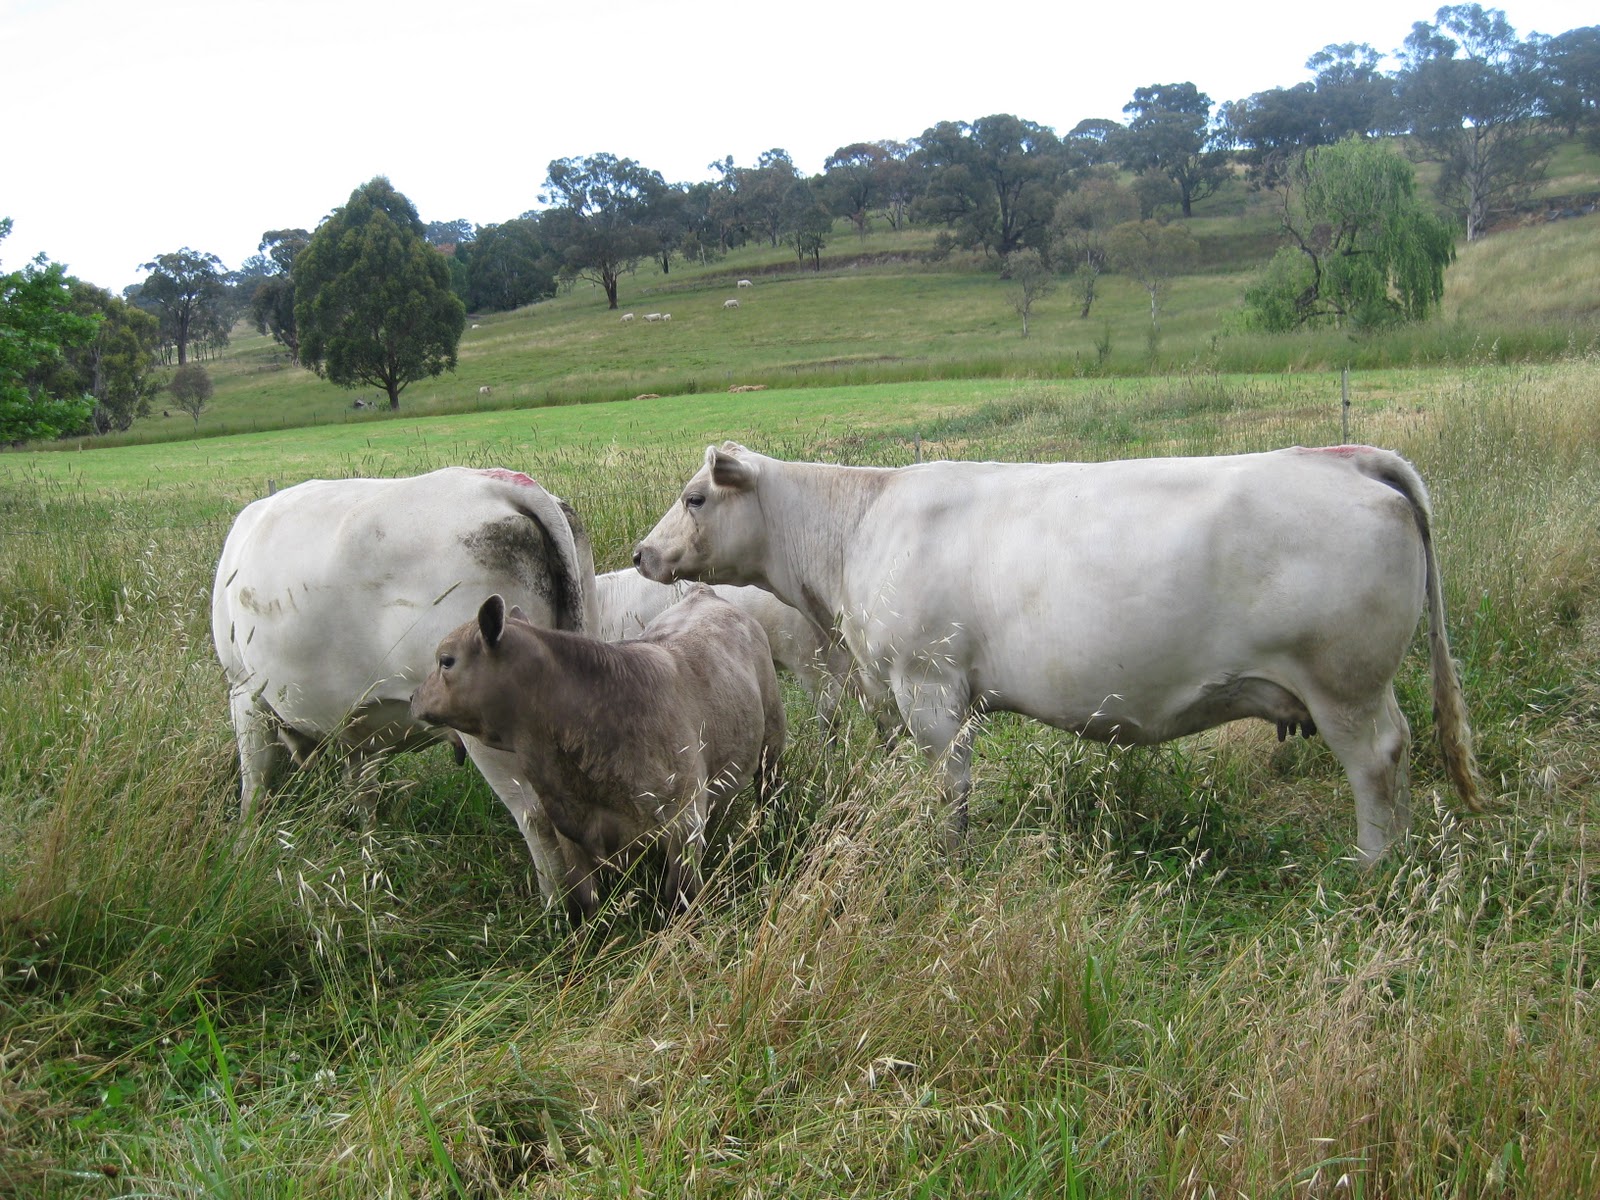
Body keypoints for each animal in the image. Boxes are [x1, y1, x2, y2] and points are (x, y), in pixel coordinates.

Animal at [211, 466, 599, 902]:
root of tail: (502, 484)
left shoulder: (244, 691)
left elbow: (254, 784)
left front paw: (241, 852)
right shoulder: (356, 724)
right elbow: (362, 789)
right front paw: (370, 853)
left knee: (535, 816)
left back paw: (553, 907)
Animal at [410, 587, 787, 922]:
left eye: (446, 660)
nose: (413, 697)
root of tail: (704, 594)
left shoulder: (684, 817)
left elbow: (679, 894)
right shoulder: (569, 833)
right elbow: (582, 901)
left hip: (772, 743)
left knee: (769, 793)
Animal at [633, 442, 1484, 866]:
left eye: (695, 498)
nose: (642, 553)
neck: (860, 527)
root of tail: (1347, 457)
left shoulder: (928, 687)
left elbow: (950, 788)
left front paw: (950, 861)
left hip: (1346, 685)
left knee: (1378, 760)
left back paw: (1373, 864)